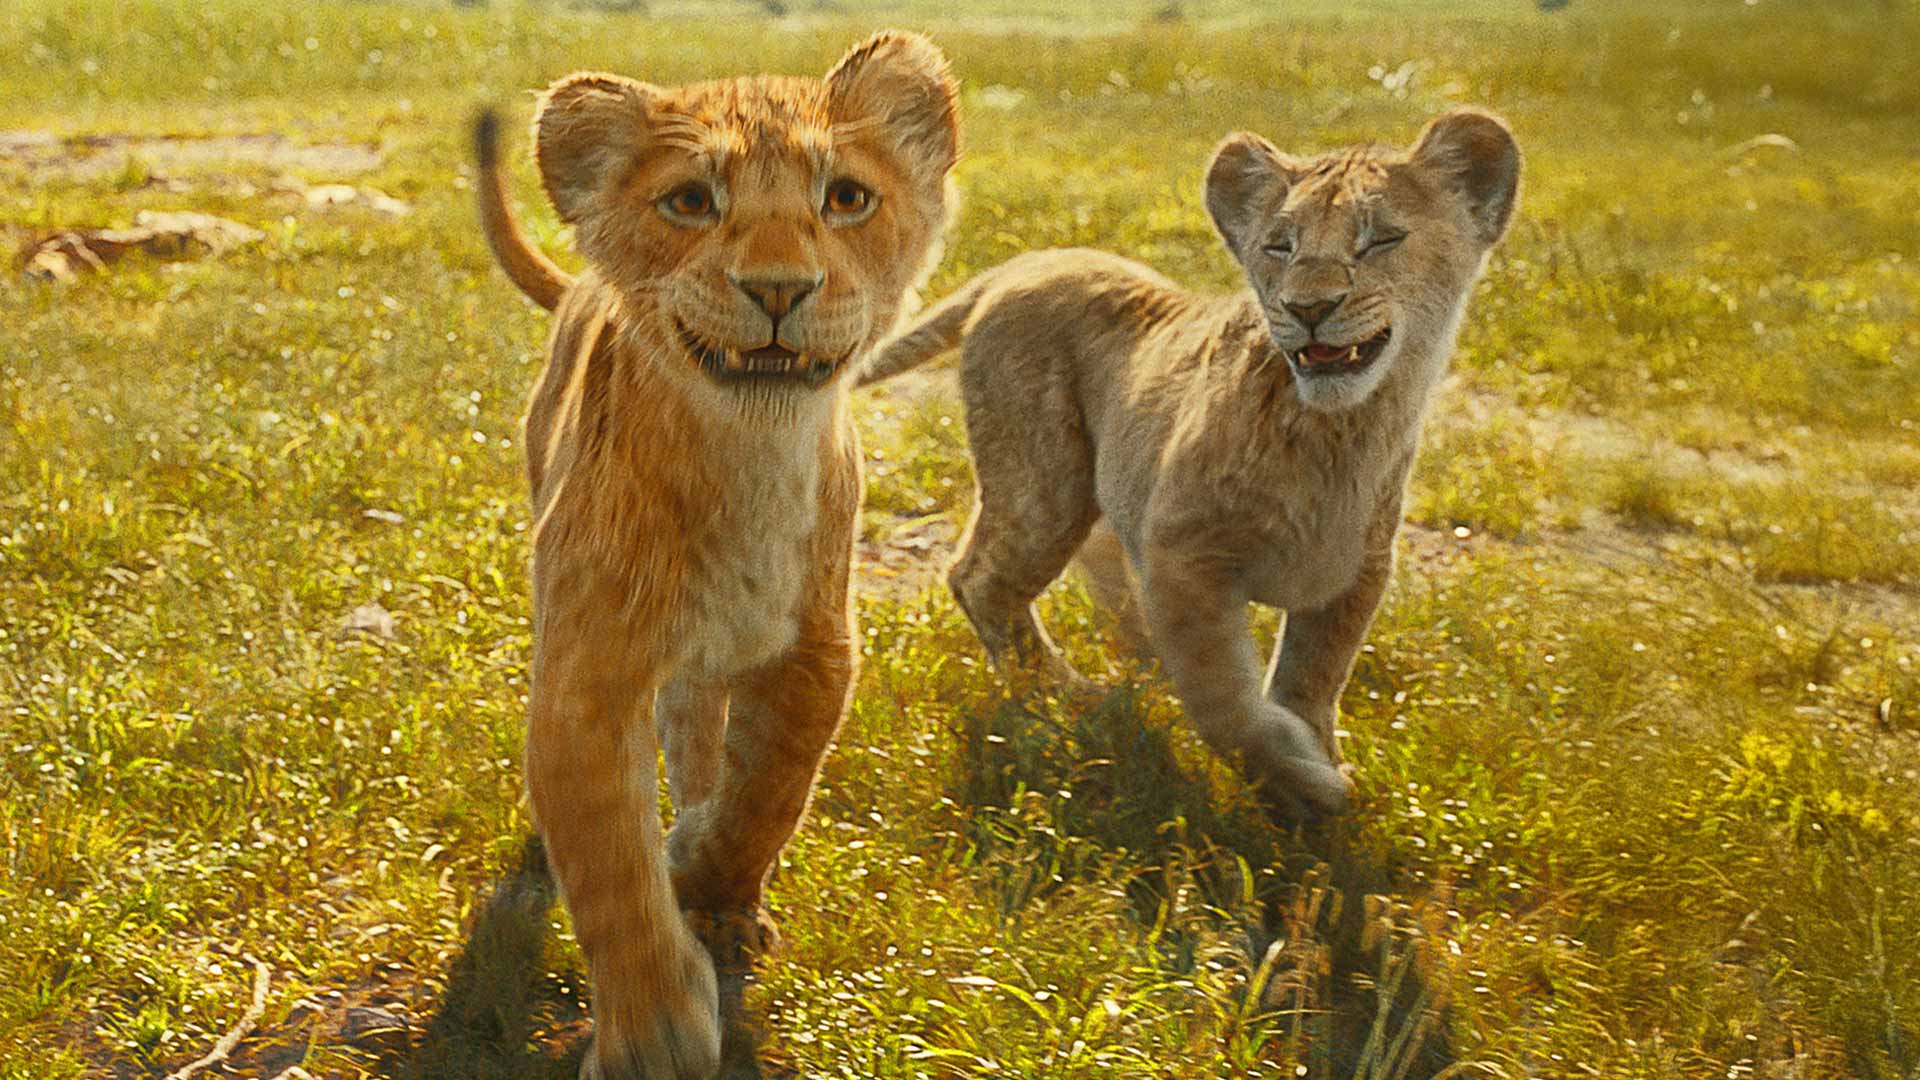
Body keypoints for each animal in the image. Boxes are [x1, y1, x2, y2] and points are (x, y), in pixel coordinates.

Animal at [474, 33, 958, 1080]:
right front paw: (653, 1029)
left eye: (845, 197)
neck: (749, 462)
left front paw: (710, 877)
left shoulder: (817, 650)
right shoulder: (587, 673)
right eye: (692, 201)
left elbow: (770, 791)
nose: (779, 289)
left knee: (700, 726)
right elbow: (611, 864)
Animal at [857, 108, 1520, 820]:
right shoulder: (1183, 555)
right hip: (1043, 484)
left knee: (1095, 564)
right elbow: (1225, 701)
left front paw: (1316, 774)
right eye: (1279, 246)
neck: (1342, 432)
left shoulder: (1354, 571)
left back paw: (1136, 663)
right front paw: (1304, 778)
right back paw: (1066, 696)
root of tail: (1032, 259)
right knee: (980, 578)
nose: (1309, 309)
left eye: (1382, 240)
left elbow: (1314, 678)